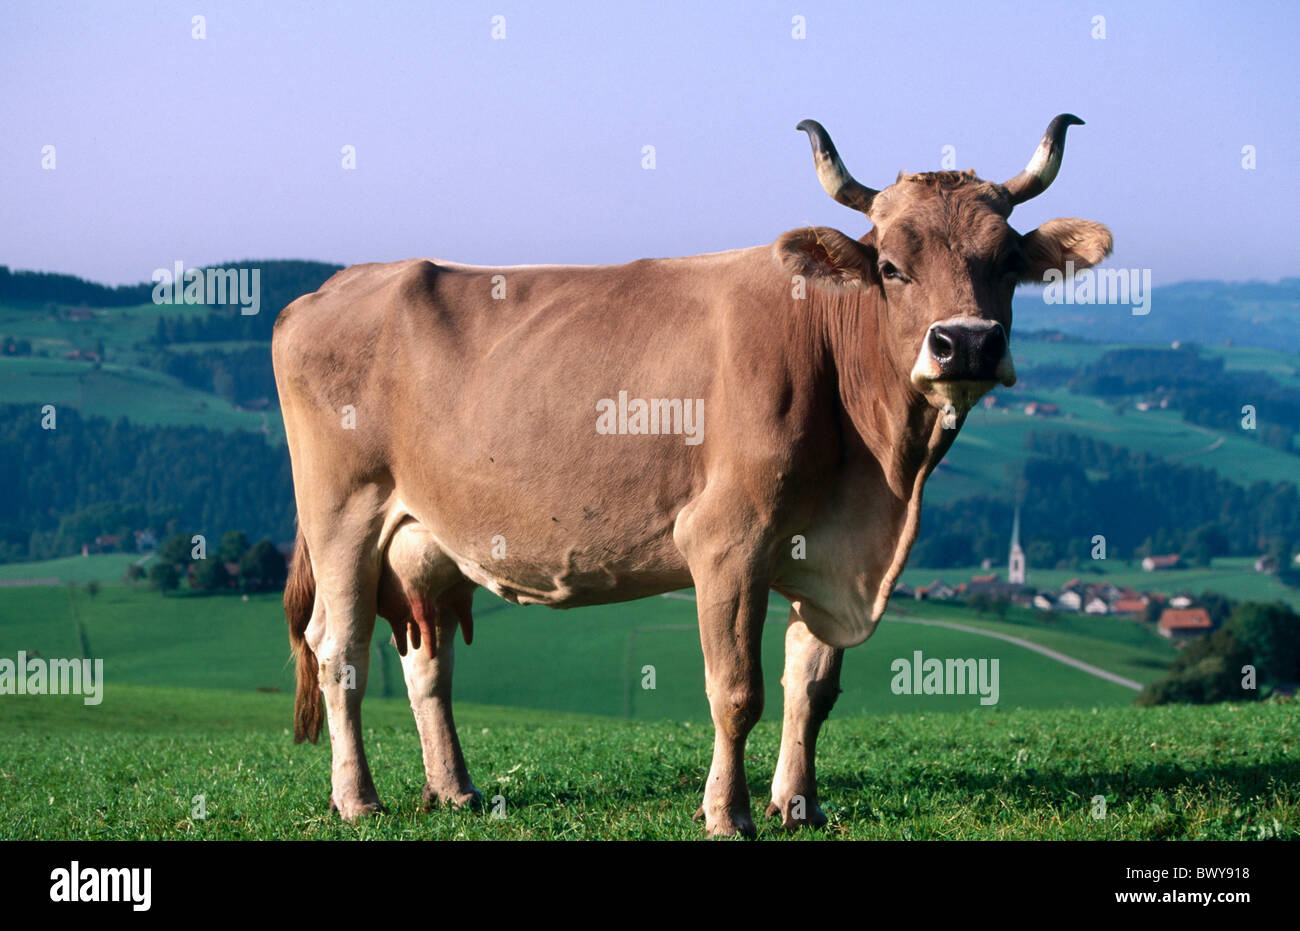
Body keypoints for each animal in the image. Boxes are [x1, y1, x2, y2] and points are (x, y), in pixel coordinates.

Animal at [272, 114, 1112, 837]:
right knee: (340, 651)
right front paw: (727, 813)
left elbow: (812, 686)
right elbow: (736, 691)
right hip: (343, 514)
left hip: (425, 541)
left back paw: (454, 789)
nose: (964, 342)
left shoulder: (822, 547)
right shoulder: (727, 540)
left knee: (426, 660)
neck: (880, 484)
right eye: (891, 267)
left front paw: (798, 804)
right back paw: (358, 799)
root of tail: (334, 287)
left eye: (1008, 262)